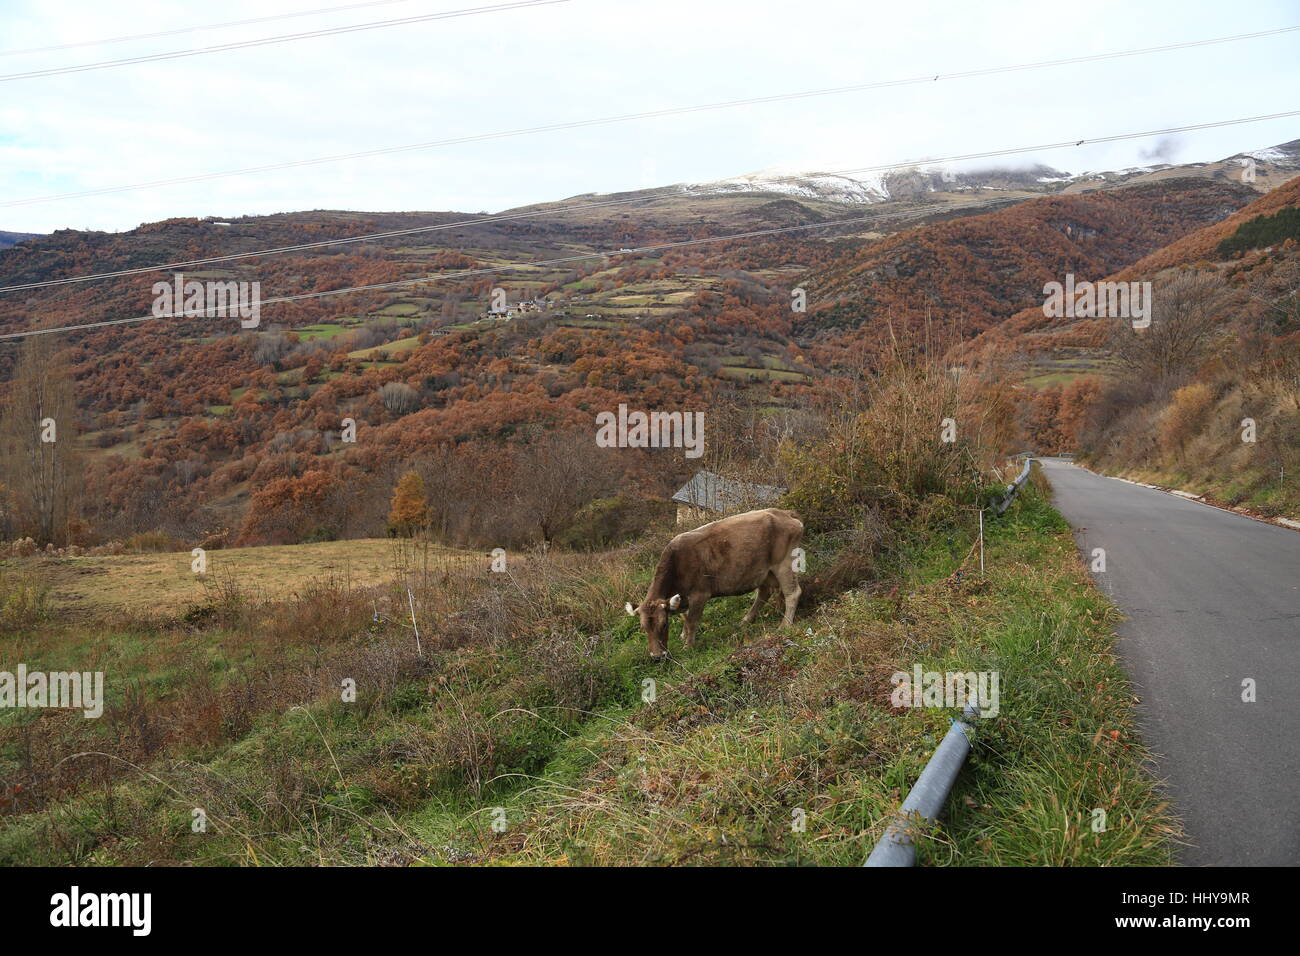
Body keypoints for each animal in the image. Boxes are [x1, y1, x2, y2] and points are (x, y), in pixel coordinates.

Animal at [625, 508, 803, 660]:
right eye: (644, 628)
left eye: (663, 624)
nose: (657, 656)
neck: (677, 563)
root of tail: (784, 513)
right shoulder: (683, 597)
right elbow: (685, 617)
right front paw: (683, 635)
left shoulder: (700, 594)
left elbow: (692, 621)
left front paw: (688, 646)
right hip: (763, 570)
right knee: (765, 592)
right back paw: (746, 620)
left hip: (785, 563)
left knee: (792, 592)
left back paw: (785, 624)